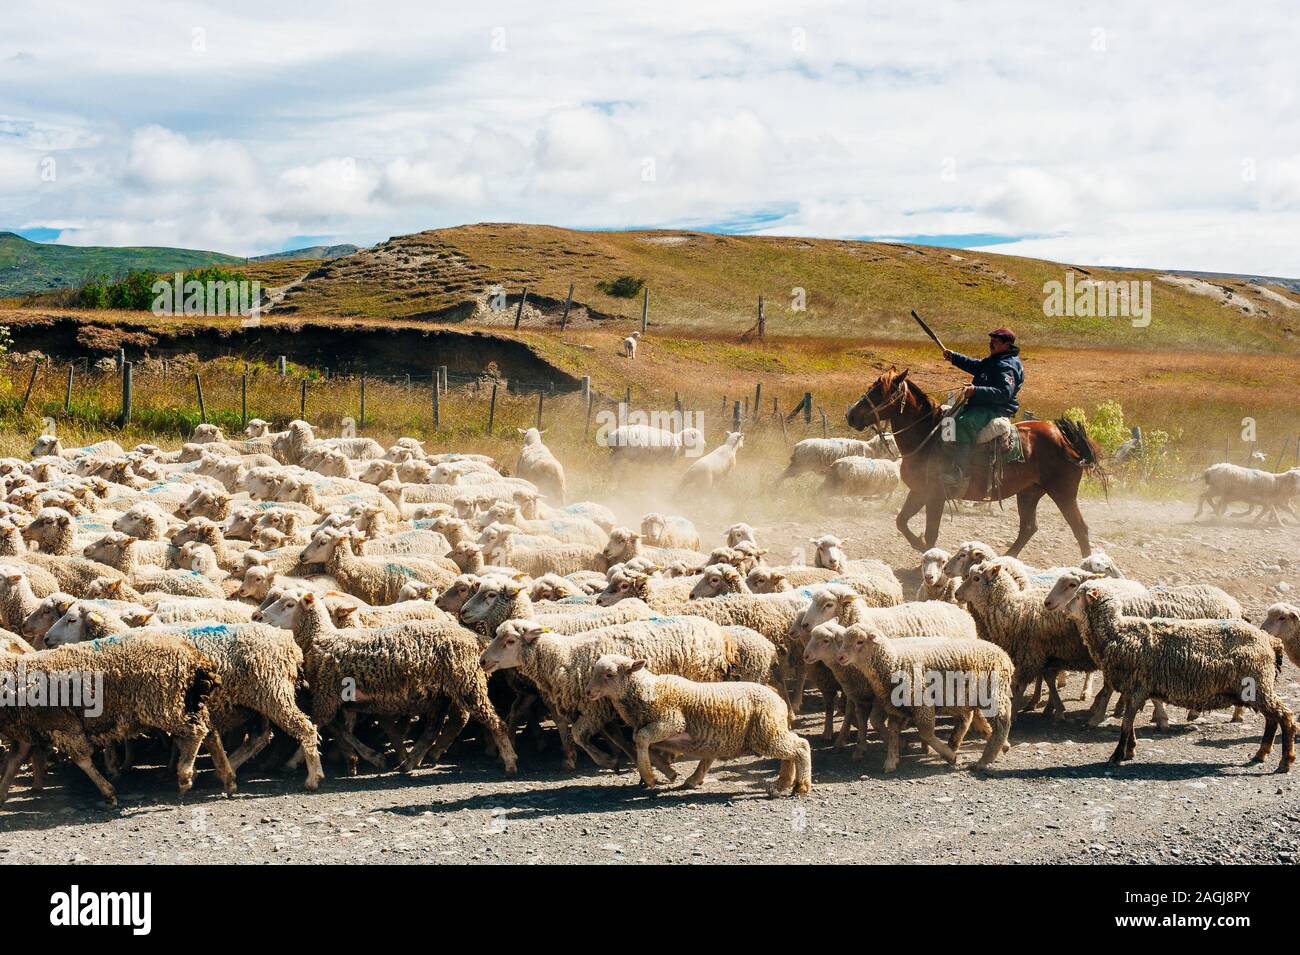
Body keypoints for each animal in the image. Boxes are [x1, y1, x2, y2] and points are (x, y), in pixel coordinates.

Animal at [0, 632, 227, 805]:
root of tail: (194, 656)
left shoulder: (63, 725)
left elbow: (82, 760)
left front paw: (109, 793)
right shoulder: (26, 732)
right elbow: (14, 761)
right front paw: (2, 795)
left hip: (165, 704)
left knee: (196, 732)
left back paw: (186, 776)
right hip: (187, 702)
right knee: (210, 732)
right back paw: (227, 778)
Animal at [585, 653, 810, 795]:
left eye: (609, 674)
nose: (588, 692)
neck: (649, 691)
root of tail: (780, 700)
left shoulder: (672, 722)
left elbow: (640, 738)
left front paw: (649, 777)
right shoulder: (658, 732)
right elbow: (640, 743)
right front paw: (665, 772)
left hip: (766, 733)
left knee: (800, 747)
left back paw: (800, 787)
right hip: (765, 732)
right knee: (789, 751)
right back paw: (782, 783)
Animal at [835, 625, 1015, 772]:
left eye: (859, 642)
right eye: (843, 641)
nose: (840, 657)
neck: (895, 663)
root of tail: (1002, 653)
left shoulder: (922, 705)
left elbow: (926, 733)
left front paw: (950, 757)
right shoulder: (895, 708)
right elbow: (893, 733)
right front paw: (891, 762)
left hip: (993, 691)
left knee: (1002, 721)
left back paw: (984, 759)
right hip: (966, 696)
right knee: (969, 718)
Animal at [1057, 585, 1294, 771]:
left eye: (1077, 596)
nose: (1063, 610)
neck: (1116, 632)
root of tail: (1270, 641)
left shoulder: (1135, 688)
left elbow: (1125, 725)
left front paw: (1116, 755)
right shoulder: (1135, 690)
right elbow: (1129, 723)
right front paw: (1130, 751)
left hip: (1258, 684)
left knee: (1285, 717)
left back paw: (1285, 761)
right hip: (1259, 688)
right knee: (1272, 719)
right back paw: (1261, 754)